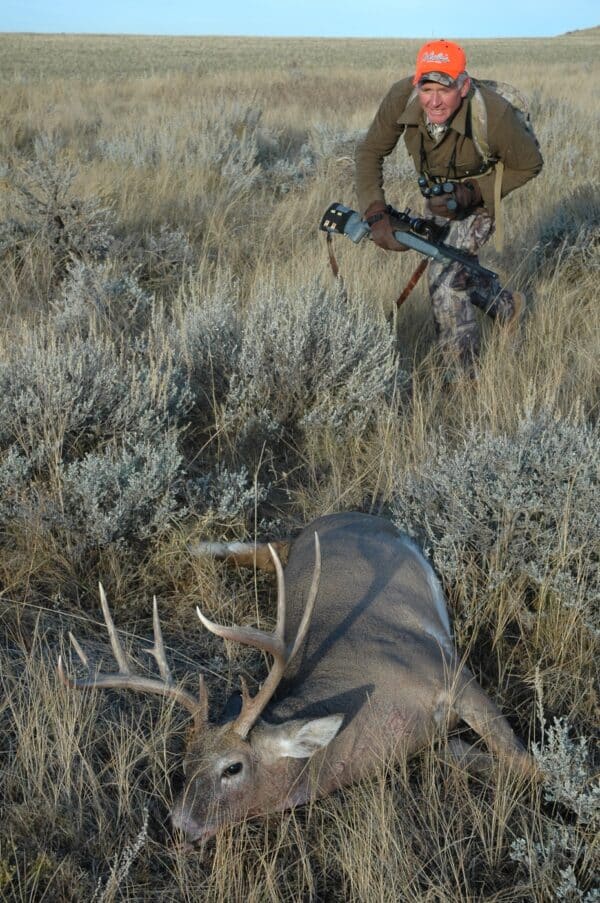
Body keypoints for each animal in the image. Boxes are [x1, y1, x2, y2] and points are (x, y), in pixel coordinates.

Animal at [58, 511, 536, 848]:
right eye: (184, 761)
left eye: (233, 767)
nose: (179, 824)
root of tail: (322, 522)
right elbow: (474, 759)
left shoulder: (448, 671)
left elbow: (526, 764)